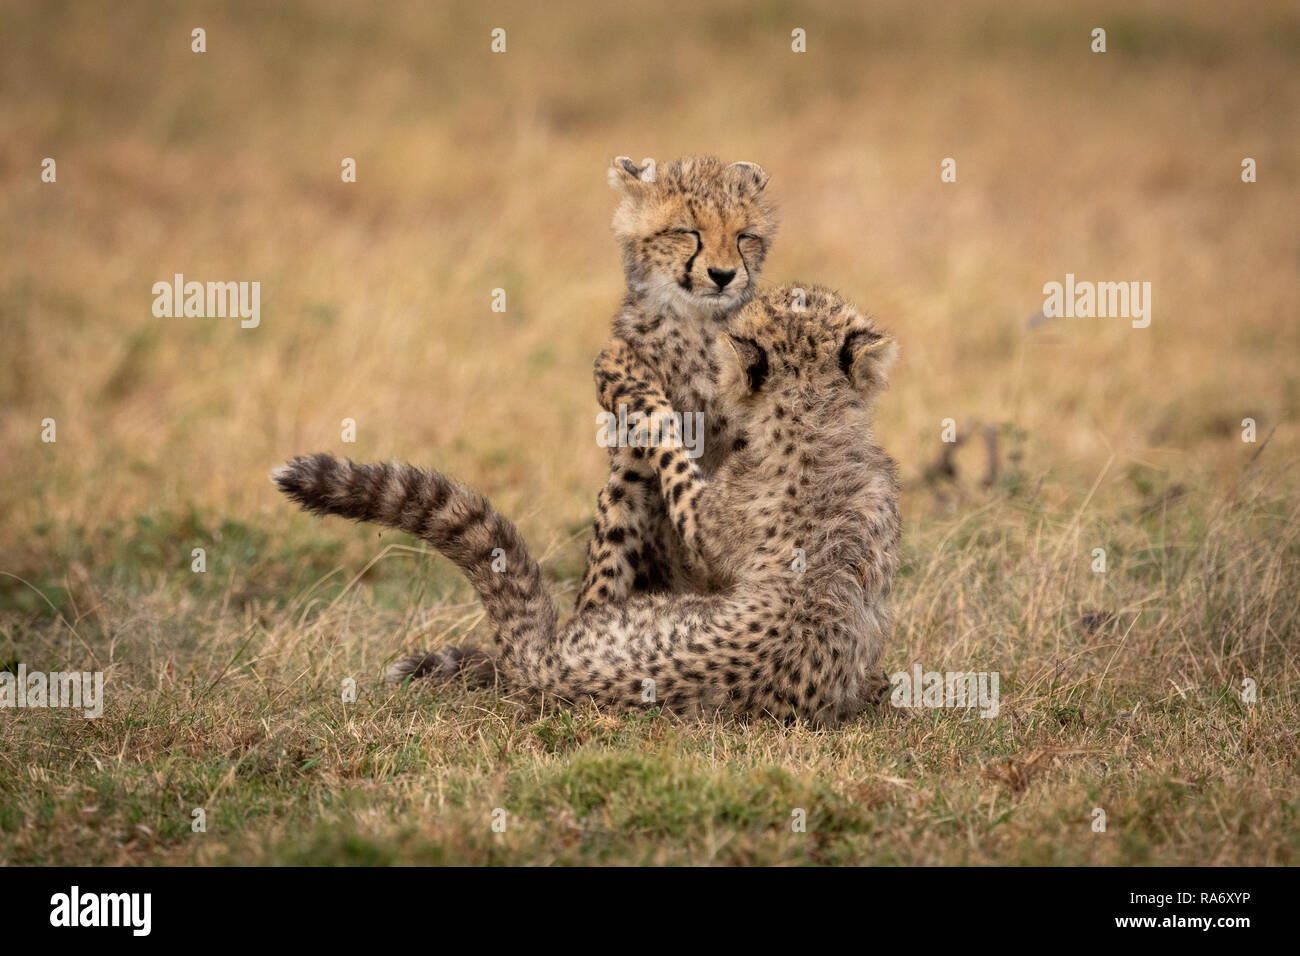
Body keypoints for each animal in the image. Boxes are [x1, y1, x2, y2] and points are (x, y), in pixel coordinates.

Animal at [575, 155, 777, 614]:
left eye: (744, 236)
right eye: (688, 232)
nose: (723, 275)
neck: (694, 321)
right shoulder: (628, 472)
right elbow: (608, 554)